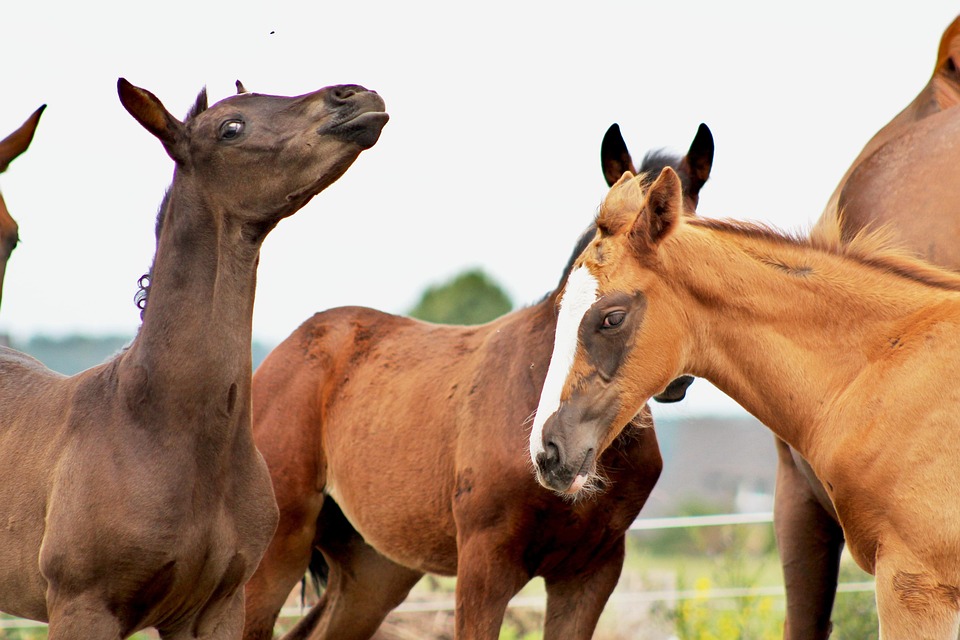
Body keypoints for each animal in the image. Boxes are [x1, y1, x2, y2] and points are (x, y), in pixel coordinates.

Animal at [241, 123, 714, 640]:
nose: (676, 378)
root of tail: (285, 351)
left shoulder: (591, 571)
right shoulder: (484, 566)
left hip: (375, 567)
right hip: (279, 549)